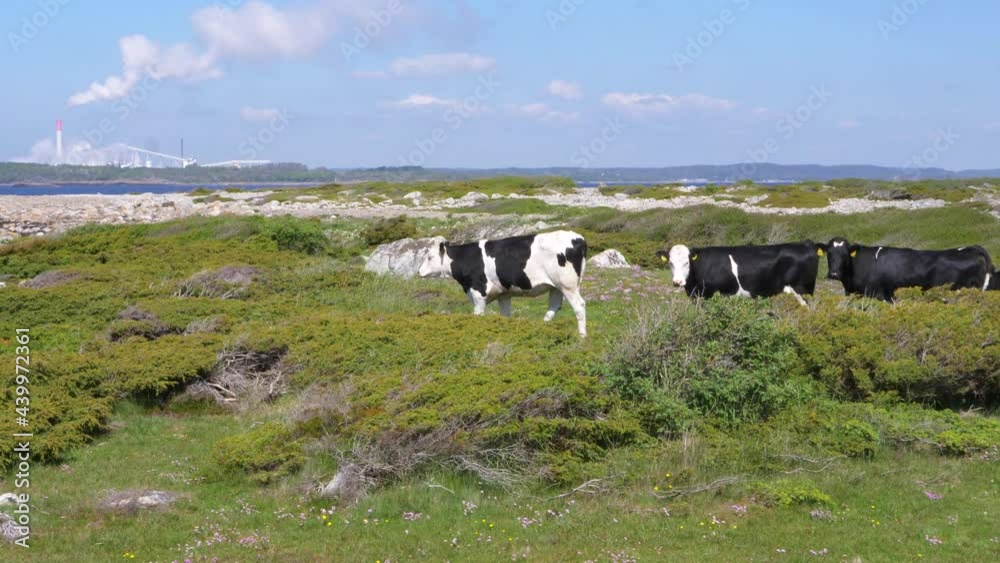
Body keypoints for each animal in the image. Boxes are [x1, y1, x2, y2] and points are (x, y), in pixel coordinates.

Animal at [418, 231, 589, 337]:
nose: (419, 271)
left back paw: (582, 337)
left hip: (568, 285)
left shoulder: (479, 292)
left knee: (579, 306)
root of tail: (578, 238)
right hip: (557, 286)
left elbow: (478, 315)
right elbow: (505, 315)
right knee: (554, 306)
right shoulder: (503, 294)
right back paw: (541, 327)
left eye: (430, 257)